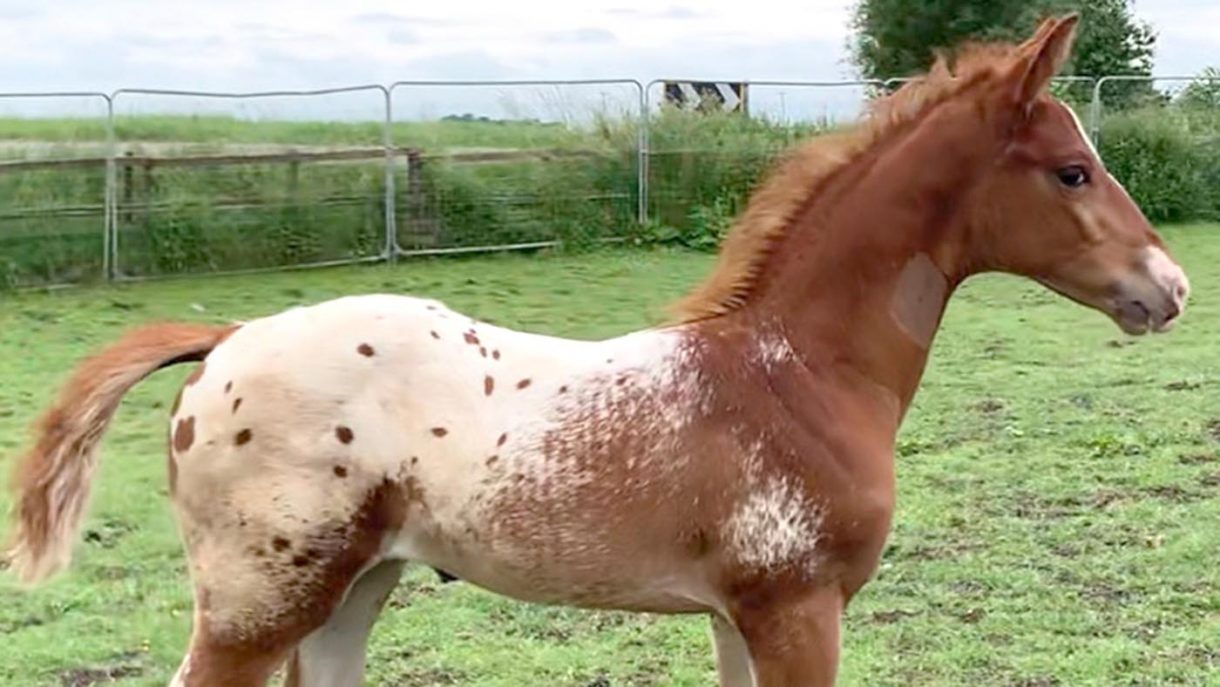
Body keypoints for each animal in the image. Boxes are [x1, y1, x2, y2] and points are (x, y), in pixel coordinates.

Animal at [5, 14, 1190, 687]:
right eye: (1071, 172)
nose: (1169, 289)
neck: (797, 374)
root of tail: (228, 337)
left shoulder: (742, 614)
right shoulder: (797, 608)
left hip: (352, 591)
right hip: (259, 600)